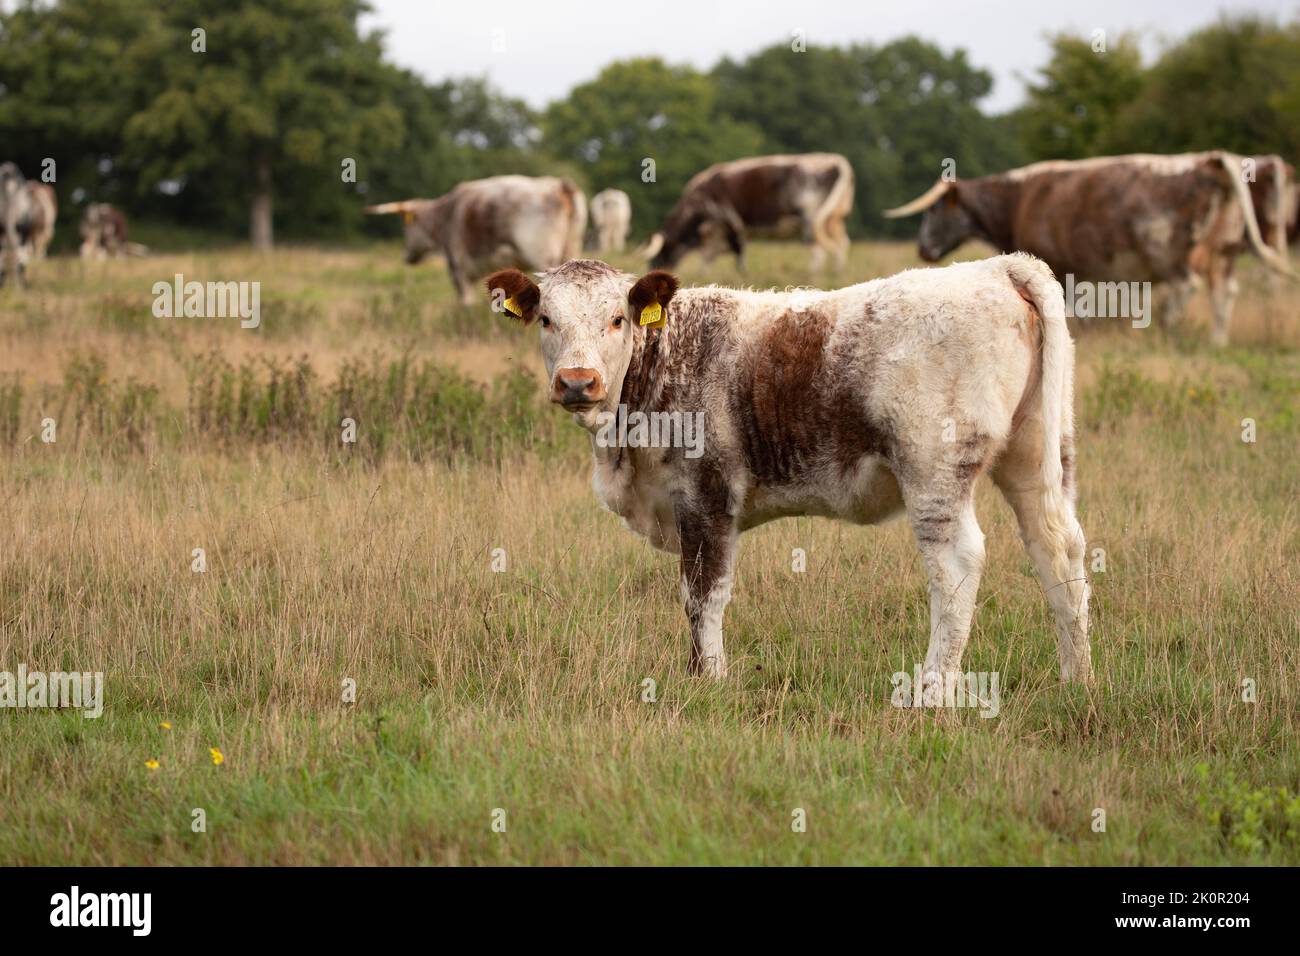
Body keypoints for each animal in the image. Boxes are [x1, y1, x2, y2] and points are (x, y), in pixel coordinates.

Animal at [366, 175, 586, 305]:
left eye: (406, 227)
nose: (406, 256)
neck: (446, 214)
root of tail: (560, 186)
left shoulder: (458, 269)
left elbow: (465, 304)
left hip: (543, 258)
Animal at [483, 255, 1091, 691]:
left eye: (617, 319)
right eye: (546, 320)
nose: (577, 381)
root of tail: (999, 265)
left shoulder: (705, 495)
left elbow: (702, 593)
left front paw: (706, 680)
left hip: (934, 472)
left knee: (957, 565)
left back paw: (933, 691)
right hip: (1037, 454)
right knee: (1057, 547)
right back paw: (1075, 679)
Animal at [645, 153, 855, 273]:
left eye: (658, 256)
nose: (651, 270)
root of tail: (835, 161)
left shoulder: (731, 223)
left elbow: (738, 254)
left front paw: (742, 275)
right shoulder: (715, 234)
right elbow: (708, 259)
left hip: (811, 217)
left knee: (817, 248)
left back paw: (814, 274)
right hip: (834, 219)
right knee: (842, 243)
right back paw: (838, 271)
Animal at [883, 152, 1294, 346]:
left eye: (933, 210)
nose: (922, 249)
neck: (1018, 198)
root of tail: (1208, 160)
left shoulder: (1057, 267)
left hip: (1171, 253)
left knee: (1184, 289)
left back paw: (1167, 336)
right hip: (1223, 251)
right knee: (1224, 292)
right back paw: (1217, 342)